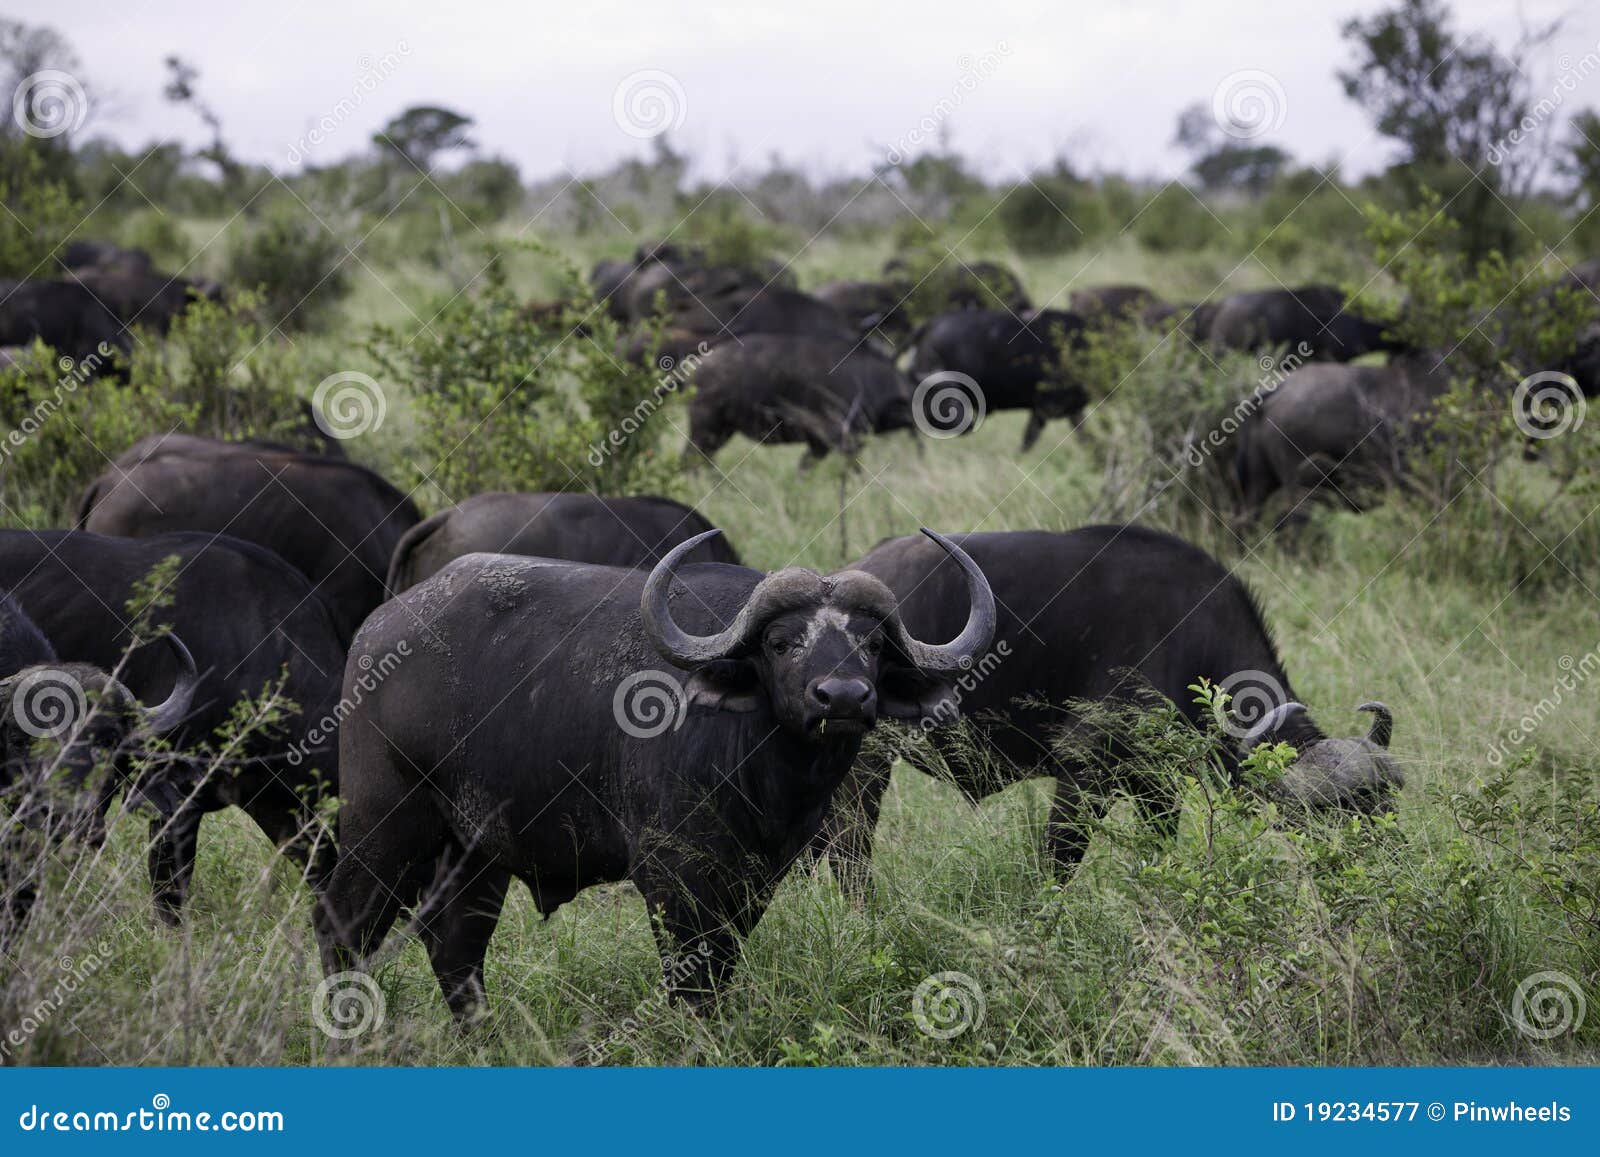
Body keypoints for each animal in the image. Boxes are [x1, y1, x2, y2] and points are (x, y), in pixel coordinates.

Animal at [318, 528, 996, 1015]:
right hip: (384, 824)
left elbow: (721, 969)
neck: (763, 774)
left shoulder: (756, 881)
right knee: (342, 926)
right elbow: (689, 979)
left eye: (874, 645)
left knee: (455, 946)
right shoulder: (671, 876)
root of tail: (377, 629)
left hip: (475, 850)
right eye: (780, 643)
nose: (845, 697)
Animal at [816, 526, 1403, 896]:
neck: (1192, 638)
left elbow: (1159, 851)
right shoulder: (1083, 772)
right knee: (849, 852)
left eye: (1386, 805)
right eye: (1335, 814)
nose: (1386, 868)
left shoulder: (1155, 784)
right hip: (867, 762)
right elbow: (1057, 862)